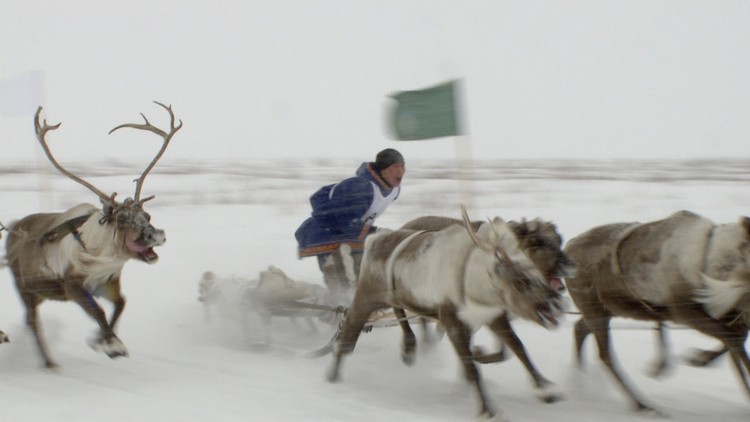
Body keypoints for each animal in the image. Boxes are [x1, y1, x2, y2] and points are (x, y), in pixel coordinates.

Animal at [4, 101, 181, 369]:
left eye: (147, 215)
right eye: (122, 219)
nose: (157, 235)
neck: (101, 254)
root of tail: (11, 232)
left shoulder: (108, 281)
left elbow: (121, 304)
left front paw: (100, 340)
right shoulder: (72, 285)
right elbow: (98, 311)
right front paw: (113, 345)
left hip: (39, 293)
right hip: (25, 288)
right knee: (32, 321)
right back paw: (49, 362)